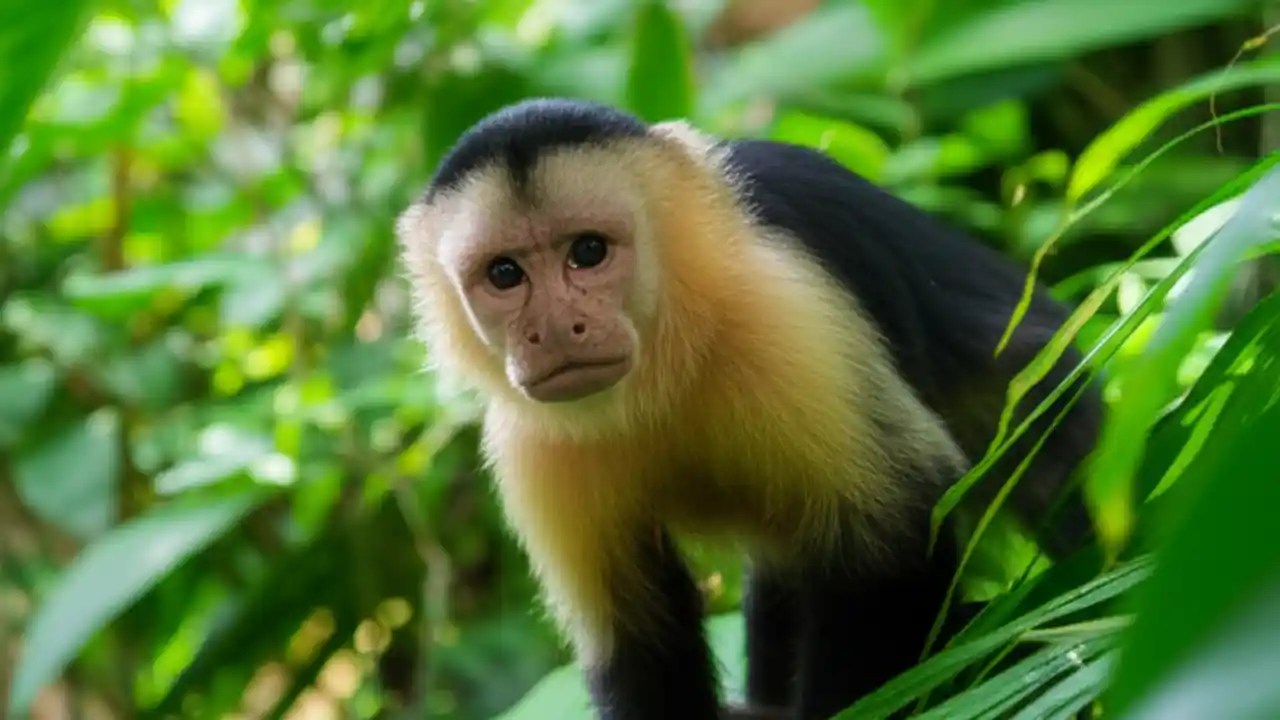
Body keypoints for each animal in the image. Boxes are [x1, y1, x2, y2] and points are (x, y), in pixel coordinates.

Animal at [395, 98, 1103, 720]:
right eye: (505, 274)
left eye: (588, 251)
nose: (555, 330)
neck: (660, 371)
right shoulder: (530, 445)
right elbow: (636, 640)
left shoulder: (783, 314)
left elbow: (900, 521)